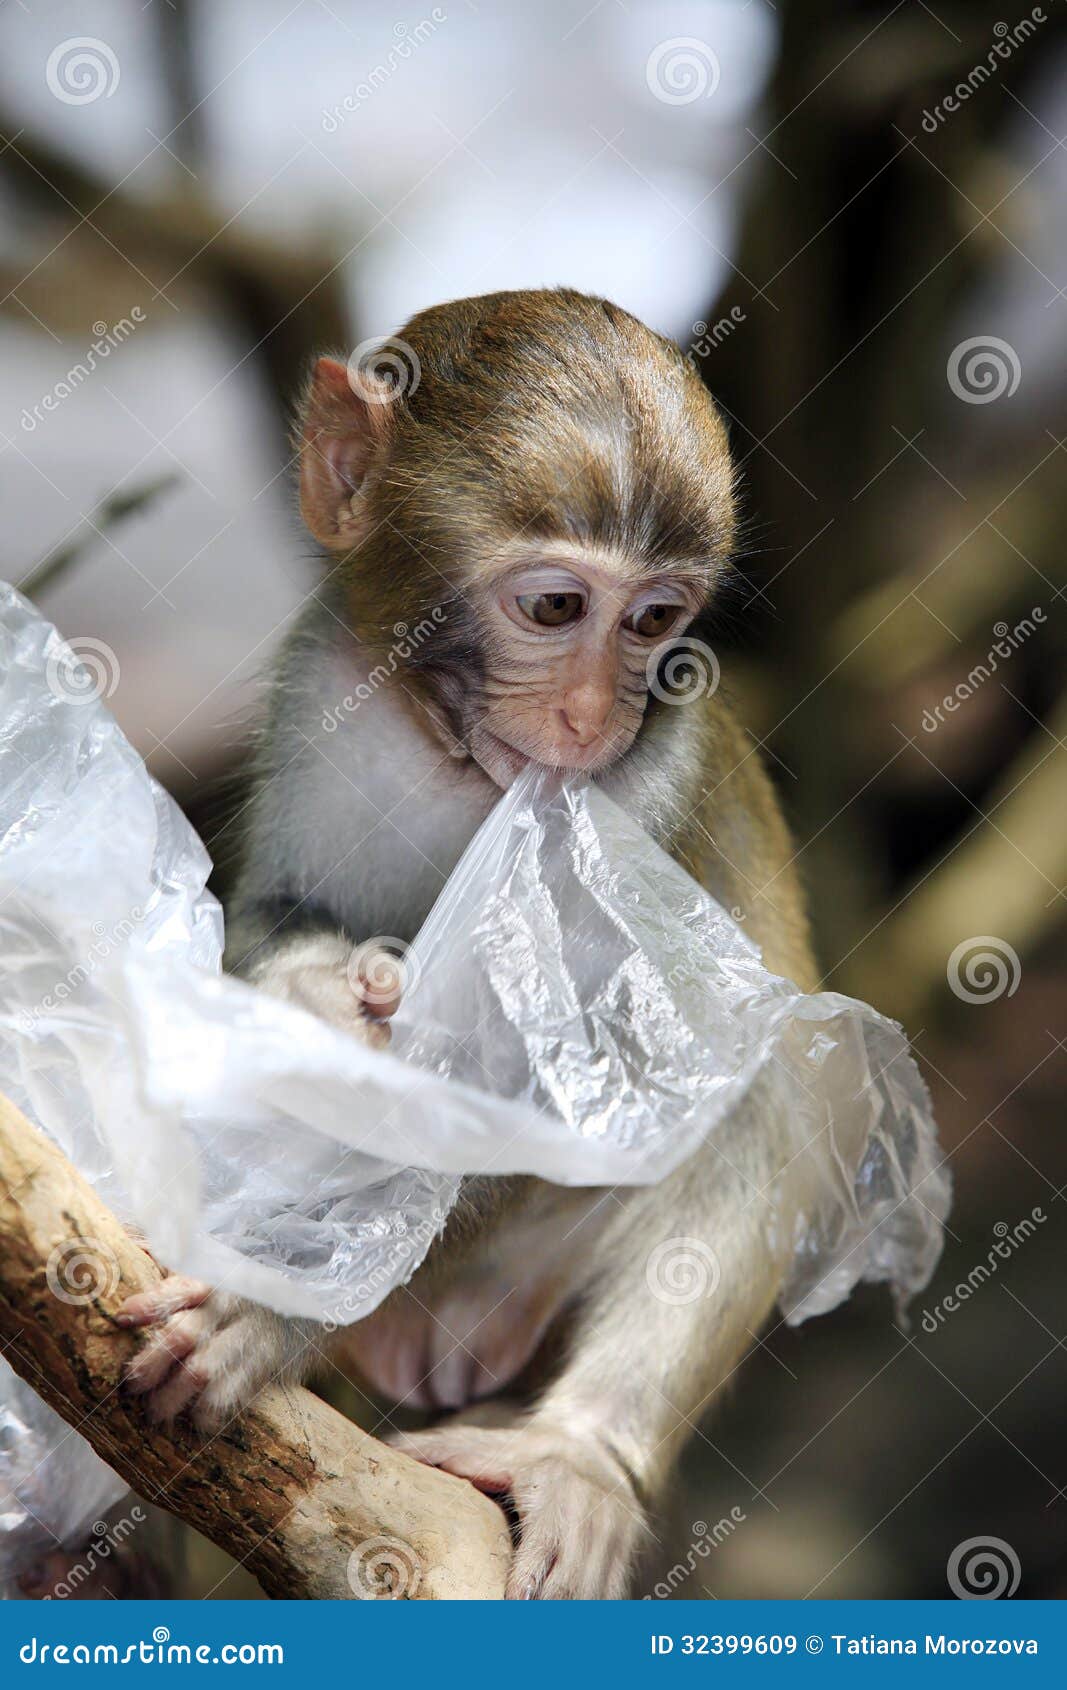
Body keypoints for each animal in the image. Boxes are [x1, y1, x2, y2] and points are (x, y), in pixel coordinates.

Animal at [118, 288, 819, 1600]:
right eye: (553, 608)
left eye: (655, 621)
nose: (593, 716)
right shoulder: (323, 672)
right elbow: (278, 905)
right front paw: (317, 987)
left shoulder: (636, 800)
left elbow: (574, 1088)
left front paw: (275, 1316)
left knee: (753, 1097)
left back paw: (580, 1455)